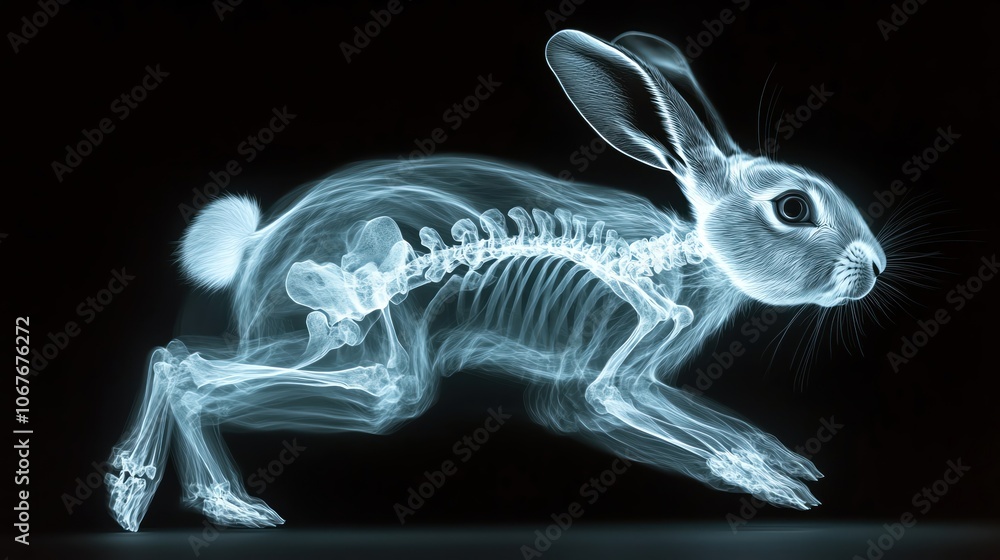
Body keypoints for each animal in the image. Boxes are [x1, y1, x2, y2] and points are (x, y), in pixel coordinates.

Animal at [105, 29, 886, 531]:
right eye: (793, 207)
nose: (874, 268)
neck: (685, 262)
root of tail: (256, 248)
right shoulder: (612, 367)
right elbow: (627, 410)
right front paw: (771, 484)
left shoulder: (646, 373)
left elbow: (708, 418)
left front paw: (785, 462)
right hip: (352, 346)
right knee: (193, 368)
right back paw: (202, 504)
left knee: (176, 357)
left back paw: (166, 499)